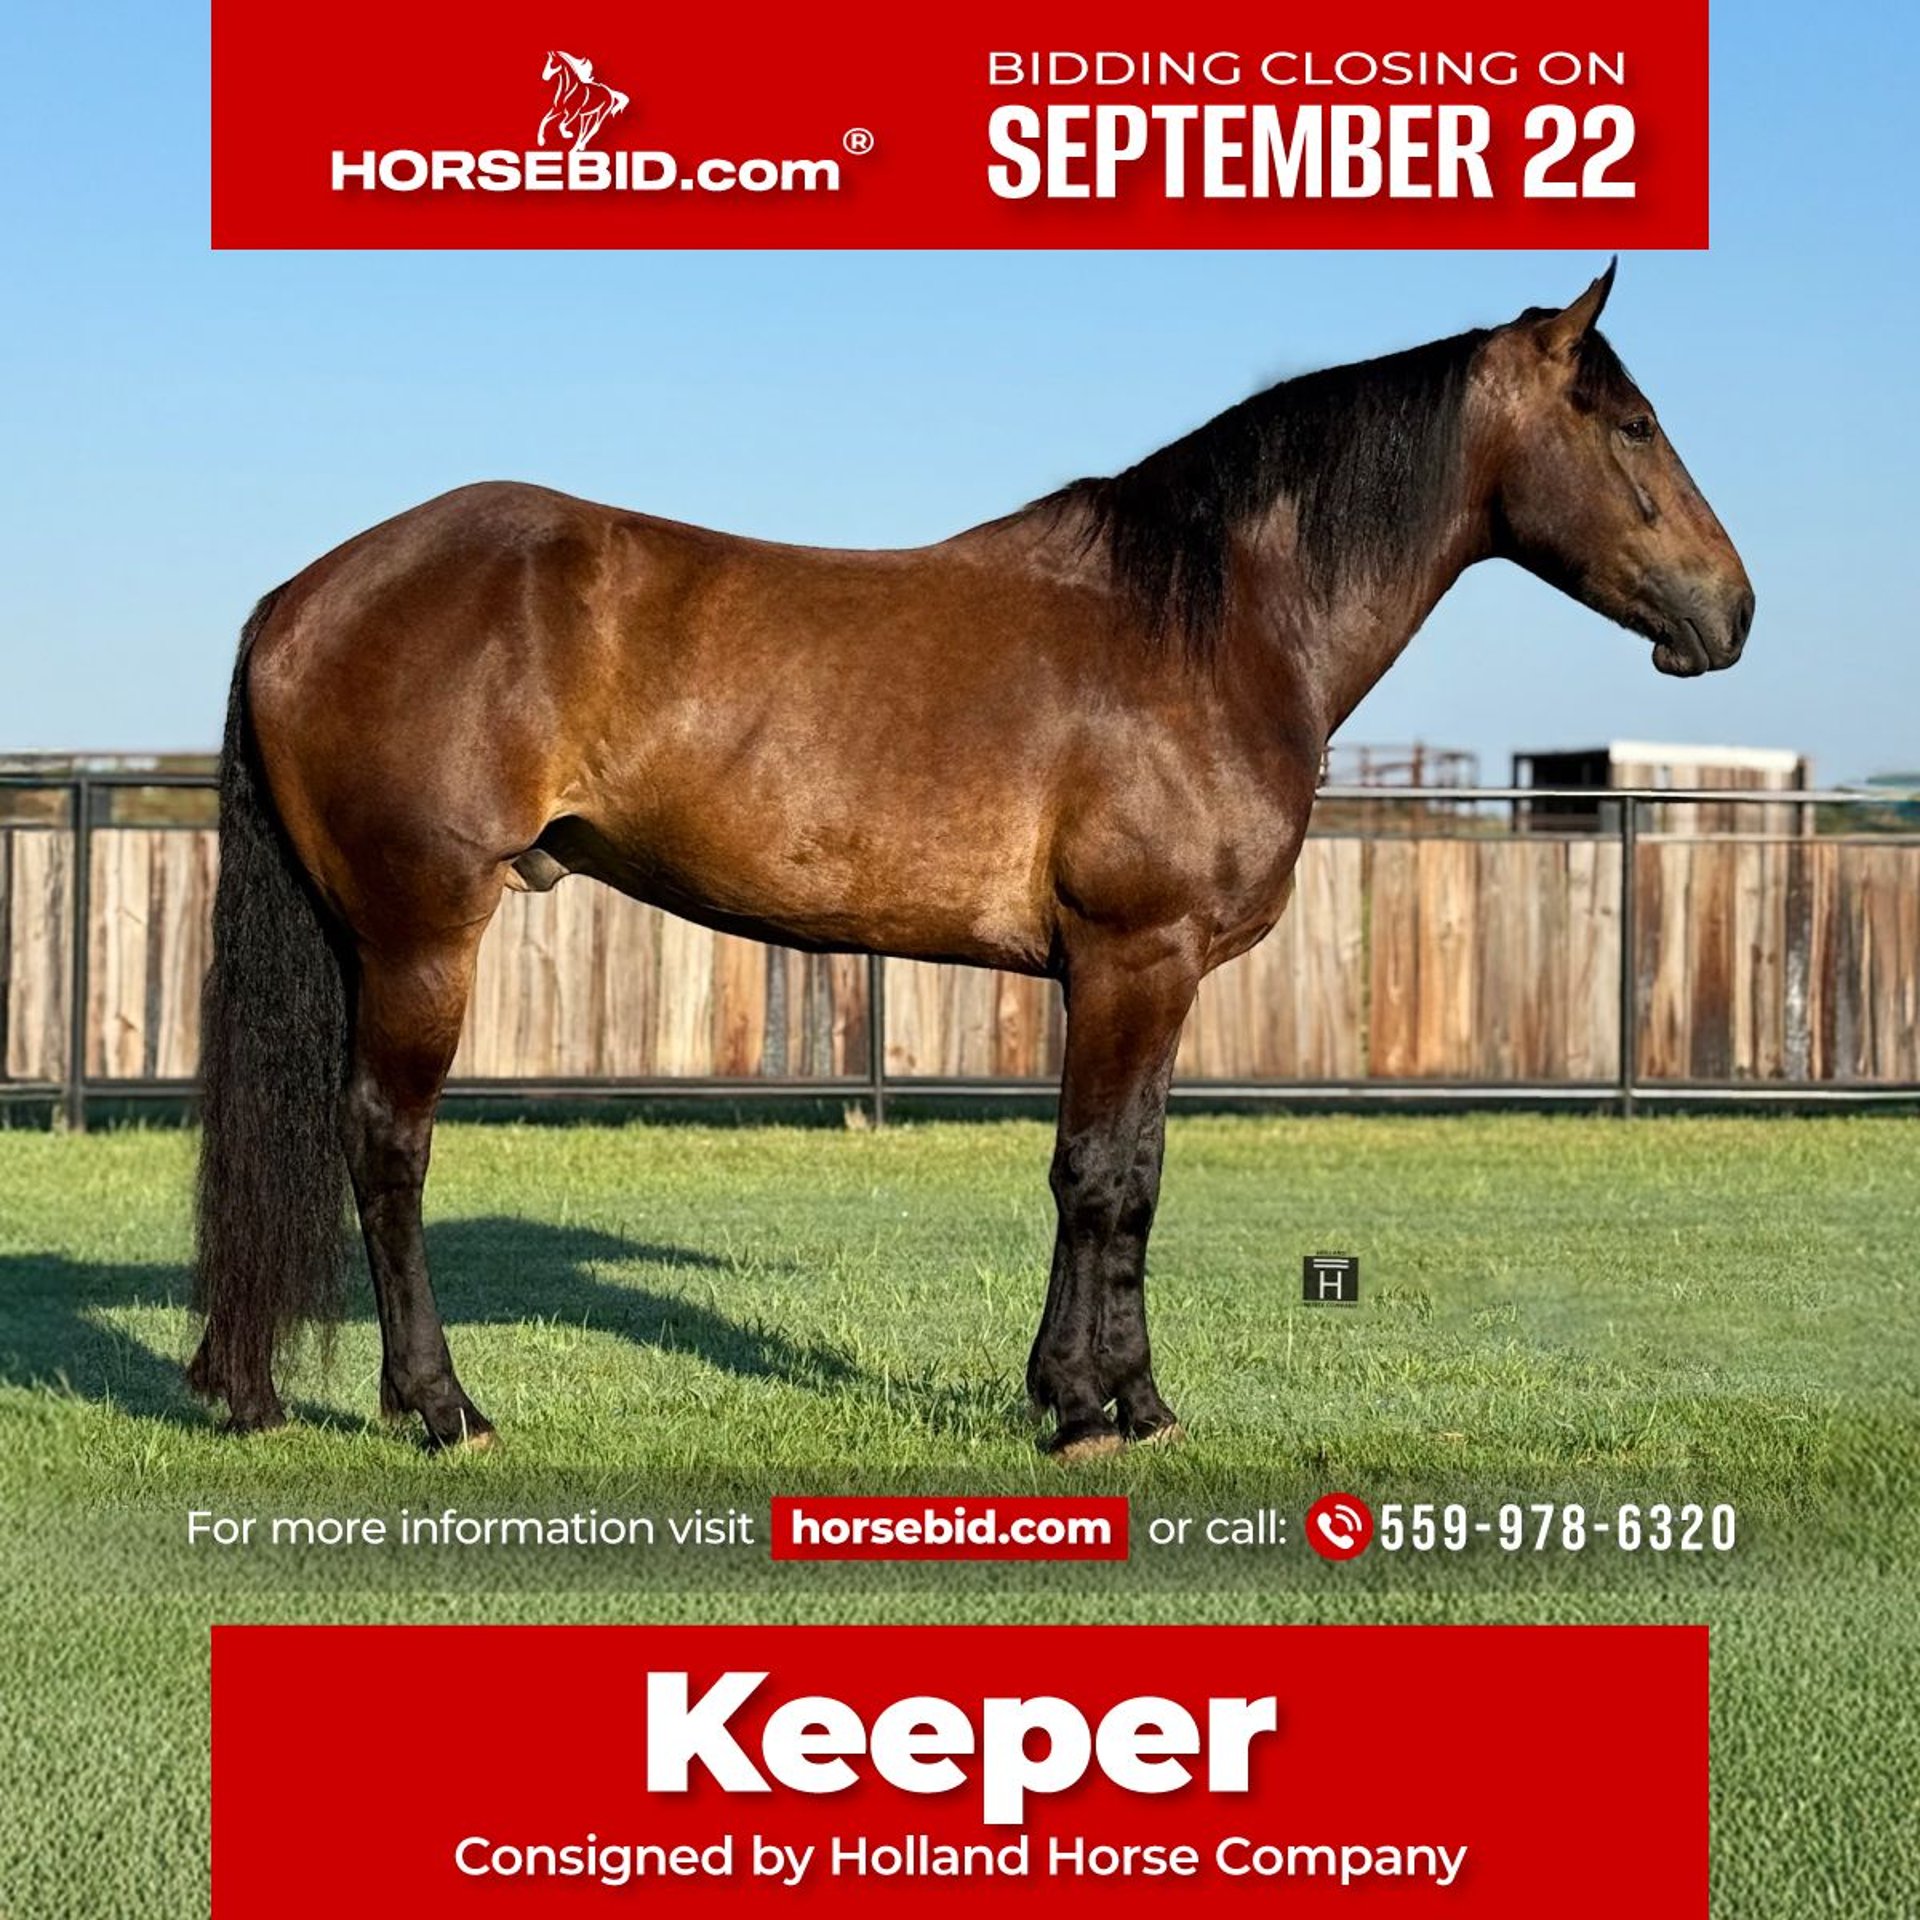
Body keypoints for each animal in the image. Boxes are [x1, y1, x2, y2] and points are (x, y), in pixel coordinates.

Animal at [188, 264, 1753, 1458]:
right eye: (1630, 424)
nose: (1729, 612)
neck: (1211, 625)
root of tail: (300, 593)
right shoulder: (1132, 957)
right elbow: (1099, 1177)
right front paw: (1089, 1412)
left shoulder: (1151, 977)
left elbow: (1135, 1171)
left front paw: (1121, 1400)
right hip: (420, 936)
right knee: (385, 1145)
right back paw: (443, 1409)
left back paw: (248, 1390)